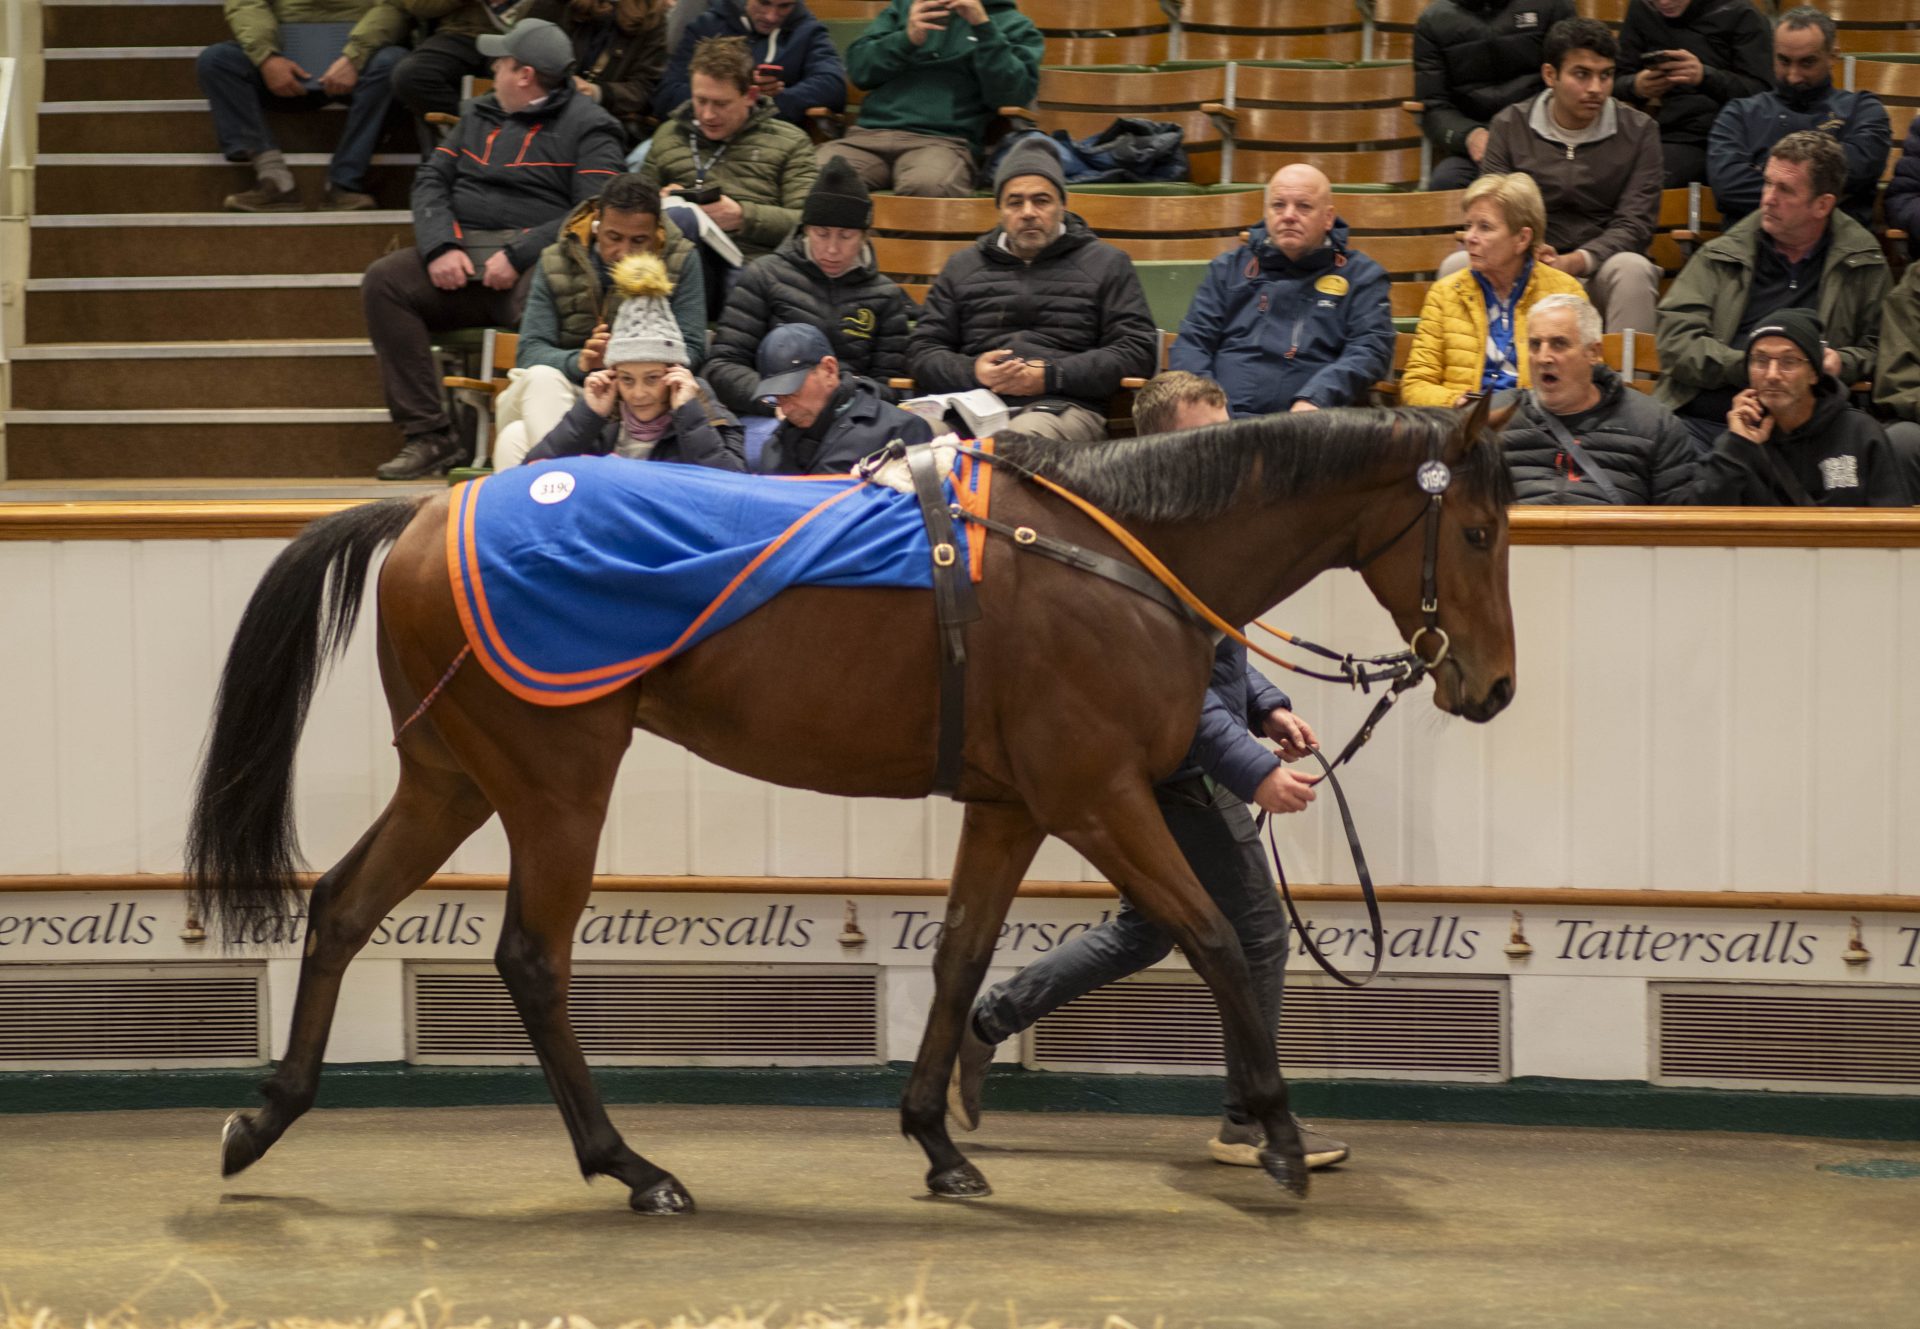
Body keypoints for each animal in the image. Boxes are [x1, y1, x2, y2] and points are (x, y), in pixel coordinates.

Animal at [185, 399, 1516, 1215]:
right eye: (1481, 530)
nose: (1492, 686)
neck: (1115, 560)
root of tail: (426, 514)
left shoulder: (1014, 804)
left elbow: (963, 954)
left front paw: (936, 1138)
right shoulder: (1098, 795)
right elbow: (1215, 940)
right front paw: (1279, 1132)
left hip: (454, 775)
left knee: (344, 905)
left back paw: (264, 1117)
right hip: (555, 781)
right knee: (530, 958)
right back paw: (631, 1166)